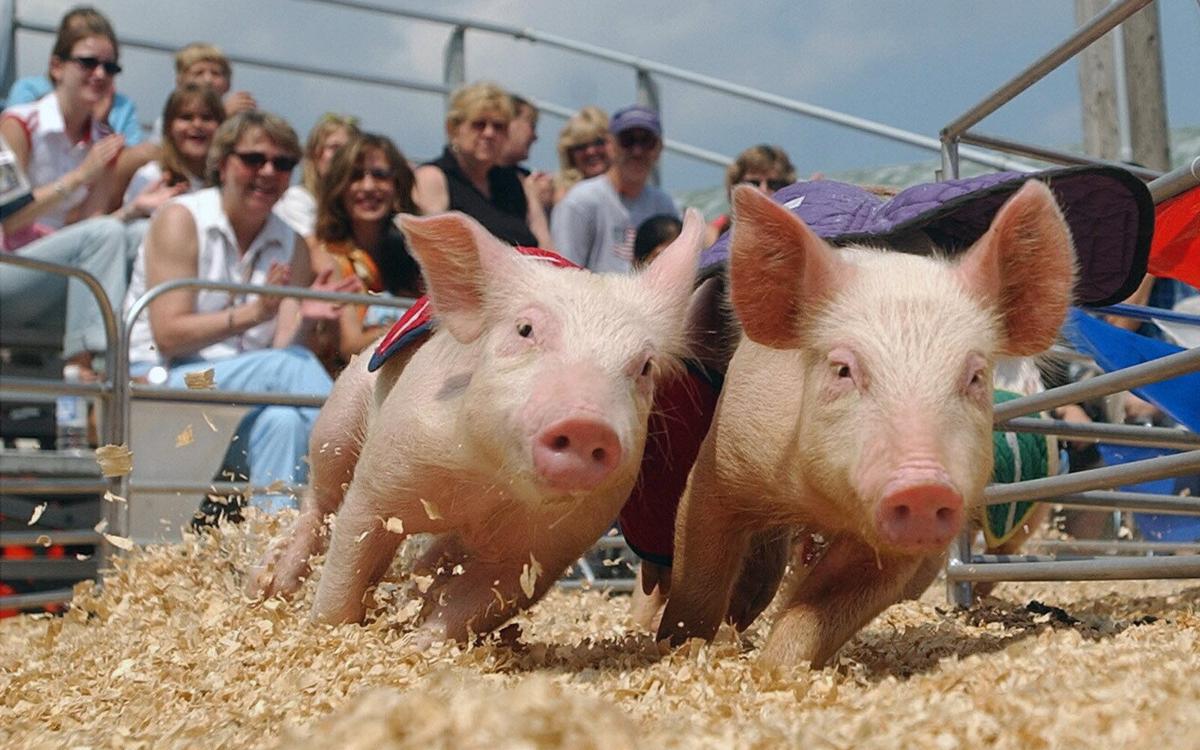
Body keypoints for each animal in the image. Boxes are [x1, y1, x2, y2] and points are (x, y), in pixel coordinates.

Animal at [248, 208, 704, 643]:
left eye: (644, 366)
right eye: (525, 329)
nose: (588, 423)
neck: (487, 487)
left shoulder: (551, 546)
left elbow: (476, 604)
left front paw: (418, 644)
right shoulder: (384, 475)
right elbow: (350, 554)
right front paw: (328, 629)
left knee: (431, 559)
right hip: (339, 418)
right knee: (321, 501)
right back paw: (272, 585)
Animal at [658, 180, 1075, 668]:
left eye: (974, 376)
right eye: (843, 369)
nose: (923, 486)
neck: (817, 502)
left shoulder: (897, 549)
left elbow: (819, 610)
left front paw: (776, 670)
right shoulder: (721, 462)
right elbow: (698, 574)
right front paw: (680, 649)